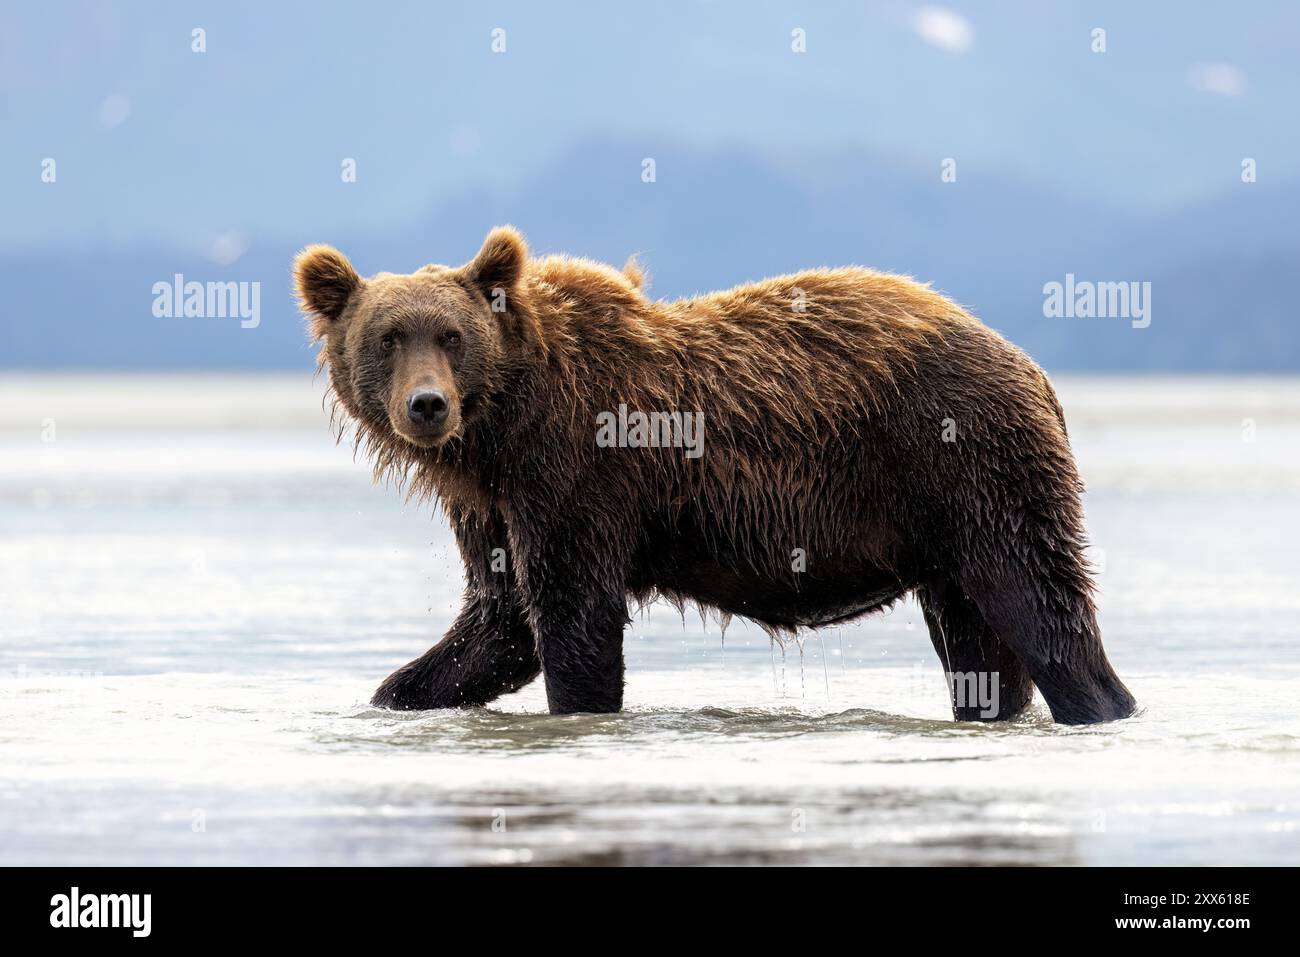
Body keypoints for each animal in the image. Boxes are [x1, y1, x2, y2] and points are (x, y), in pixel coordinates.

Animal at [294, 226, 1137, 725]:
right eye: (387, 337)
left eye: (451, 335)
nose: (427, 405)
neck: (504, 426)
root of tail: (1031, 366)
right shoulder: (493, 505)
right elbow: (498, 620)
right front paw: (396, 693)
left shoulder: (576, 474)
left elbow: (571, 616)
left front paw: (581, 703)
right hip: (942, 531)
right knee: (978, 645)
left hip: (970, 463)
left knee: (1040, 604)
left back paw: (1103, 703)